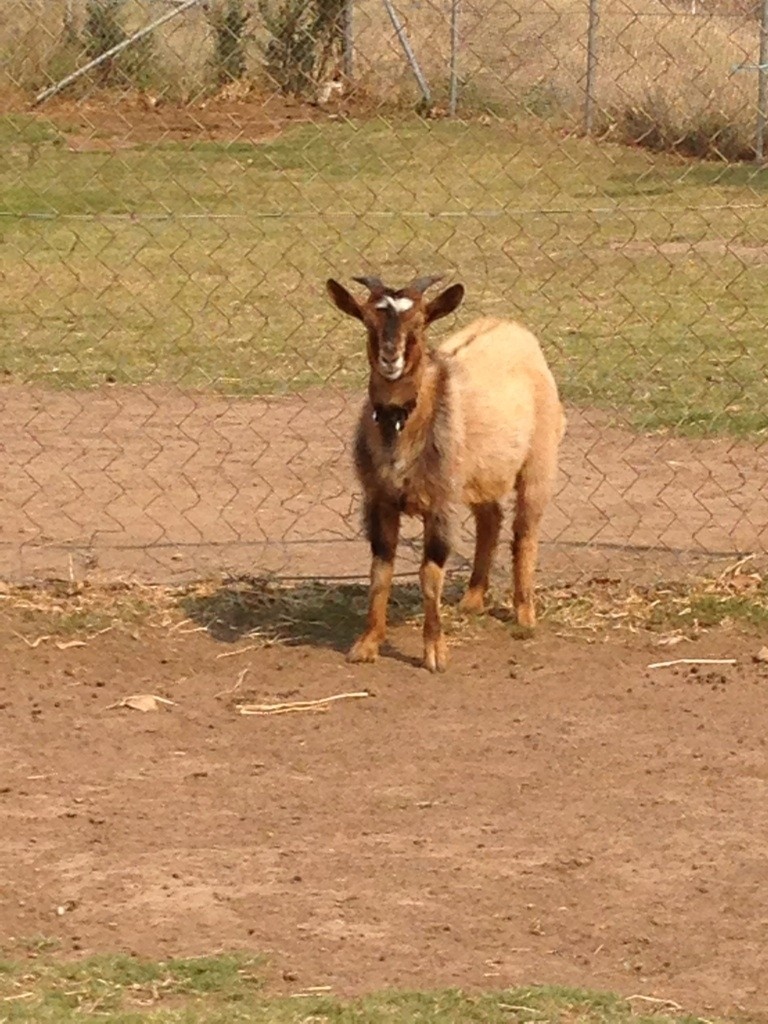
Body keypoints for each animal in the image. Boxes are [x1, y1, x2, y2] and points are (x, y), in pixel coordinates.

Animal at [326, 273, 565, 673]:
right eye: (367, 321)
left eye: (420, 324)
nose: (391, 358)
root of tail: (510, 327)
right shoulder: (380, 500)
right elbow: (380, 570)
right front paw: (367, 644)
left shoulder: (439, 503)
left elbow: (430, 574)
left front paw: (435, 652)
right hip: (478, 473)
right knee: (491, 518)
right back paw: (472, 599)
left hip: (539, 460)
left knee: (525, 531)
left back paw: (524, 614)